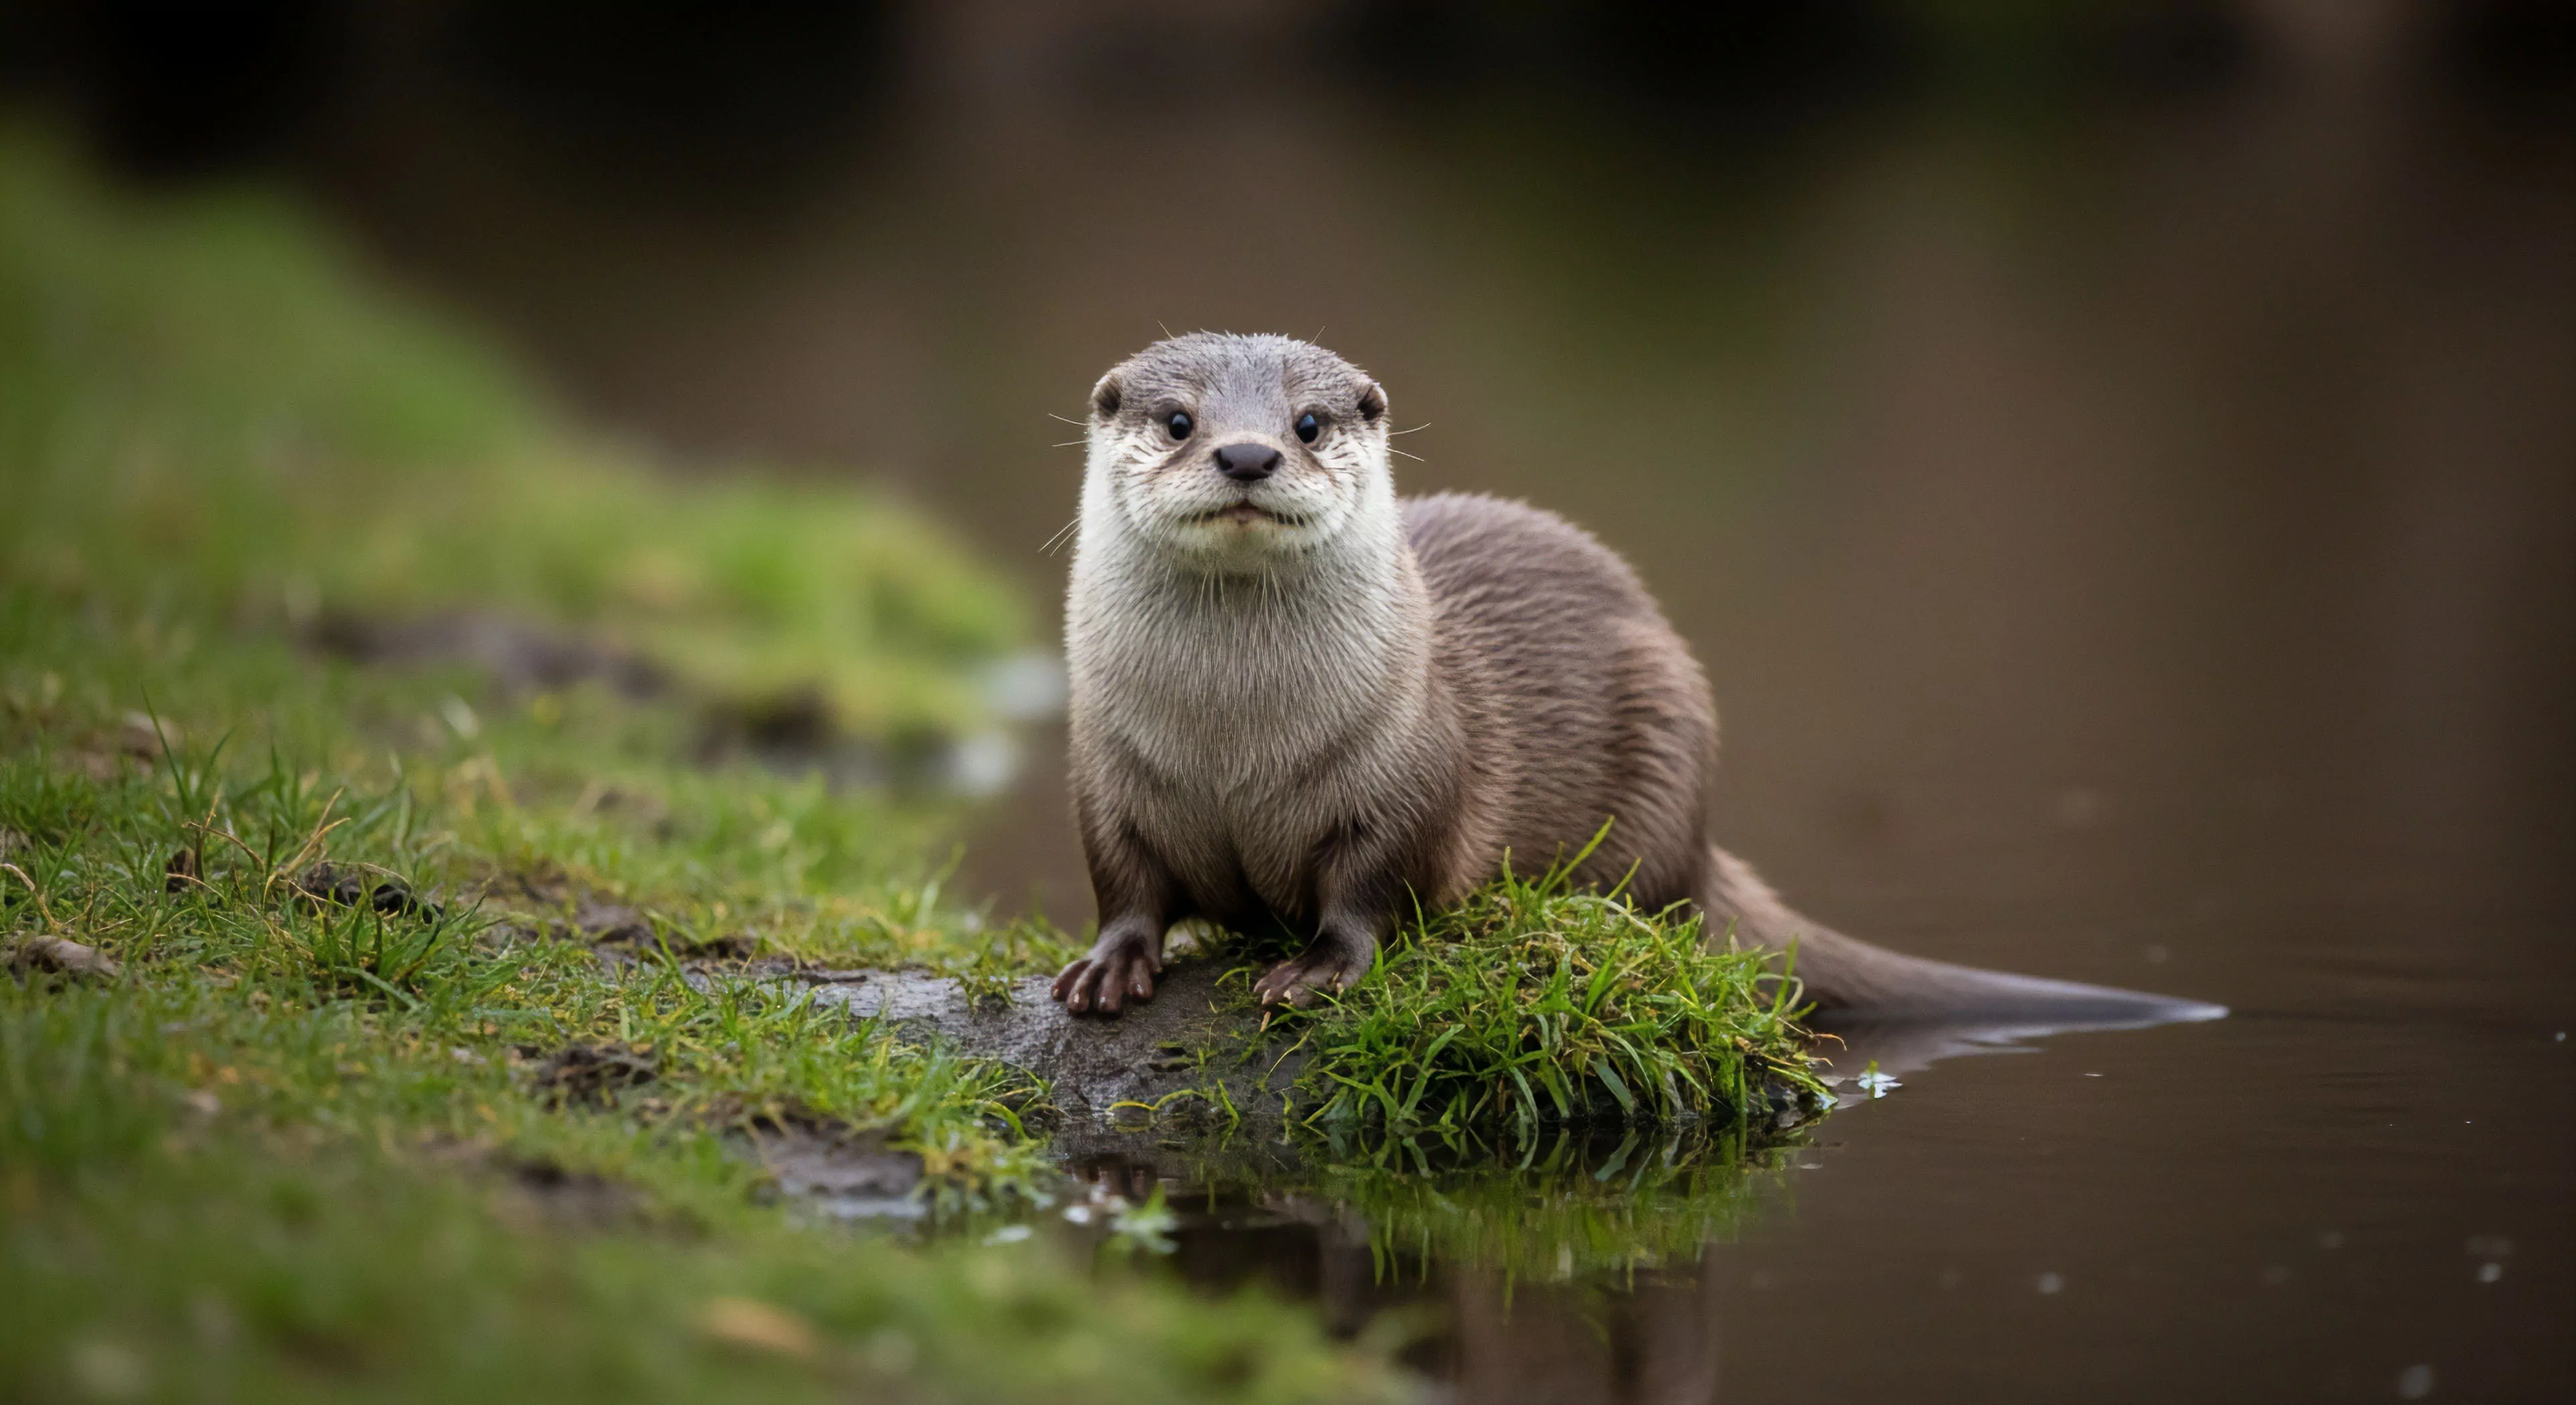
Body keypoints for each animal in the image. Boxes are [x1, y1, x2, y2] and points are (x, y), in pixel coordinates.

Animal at [1049, 333, 2221, 1026]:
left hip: (1669, 728)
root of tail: (1701, 838)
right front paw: (1108, 967)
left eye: (1306, 422)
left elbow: (1374, 885)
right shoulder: (1105, 773)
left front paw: (1320, 967)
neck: (1232, 740)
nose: (1247, 455)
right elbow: (1125, 883)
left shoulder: (1409, 768)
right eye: (1177, 420)